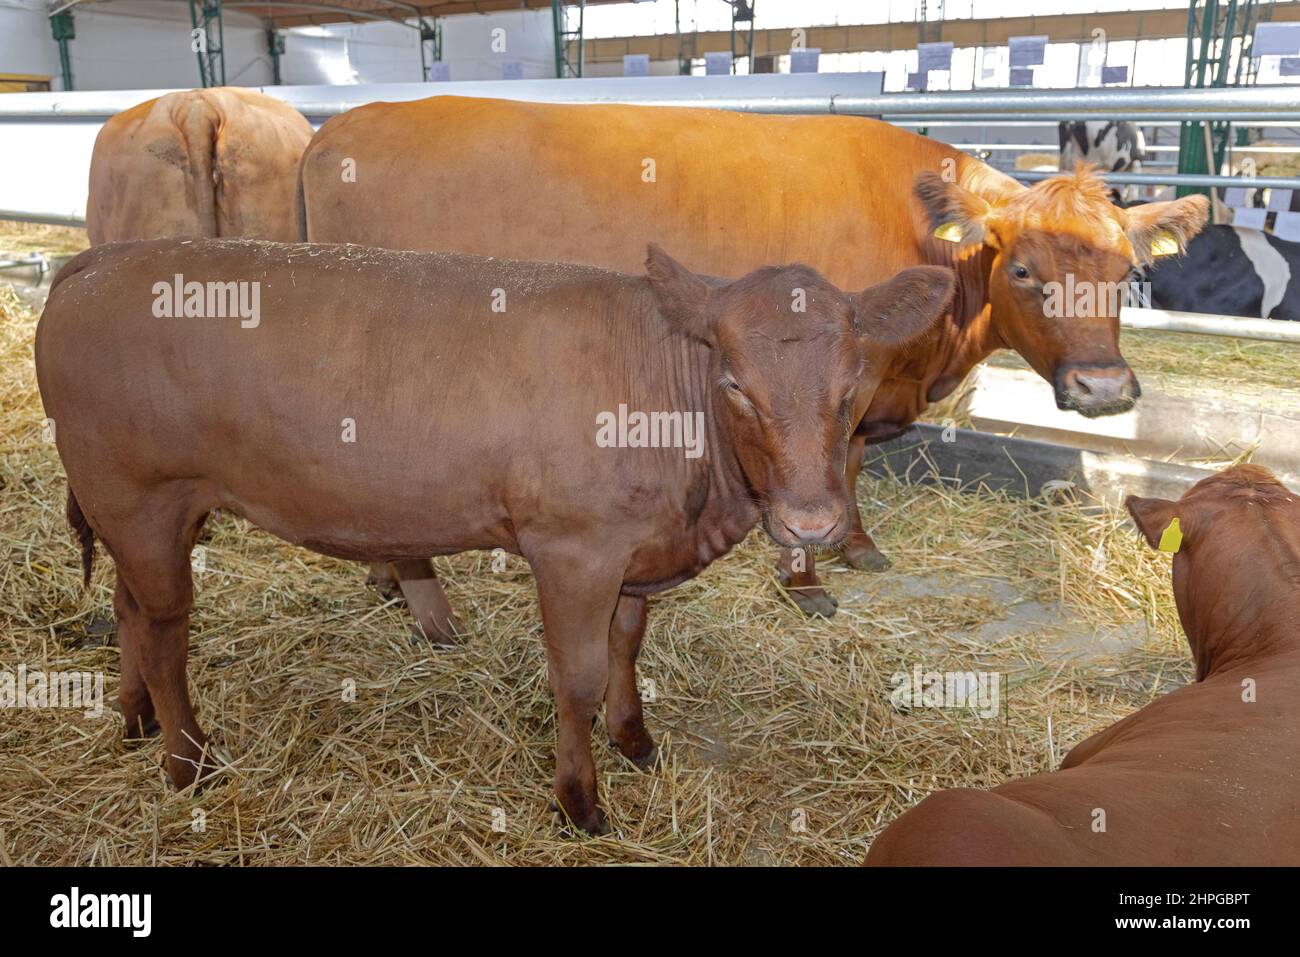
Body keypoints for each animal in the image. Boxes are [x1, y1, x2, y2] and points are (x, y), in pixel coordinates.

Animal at [36, 237, 955, 834]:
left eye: (851, 383)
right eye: (735, 382)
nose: (812, 522)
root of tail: (96, 260)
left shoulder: (631, 552)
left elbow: (626, 647)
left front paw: (636, 741)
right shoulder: (574, 548)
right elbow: (577, 677)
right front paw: (580, 801)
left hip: (147, 510)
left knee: (129, 608)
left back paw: (133, 720)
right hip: (140, 496)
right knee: (164, 628)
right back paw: (188, 761)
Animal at [298, 95, 1209, 618]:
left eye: (1128, 270)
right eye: (1022, 267)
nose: (1103, 389)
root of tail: (339, 124)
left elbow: (846, 463)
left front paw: (855, 544)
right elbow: (826, 462)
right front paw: (807, 577)